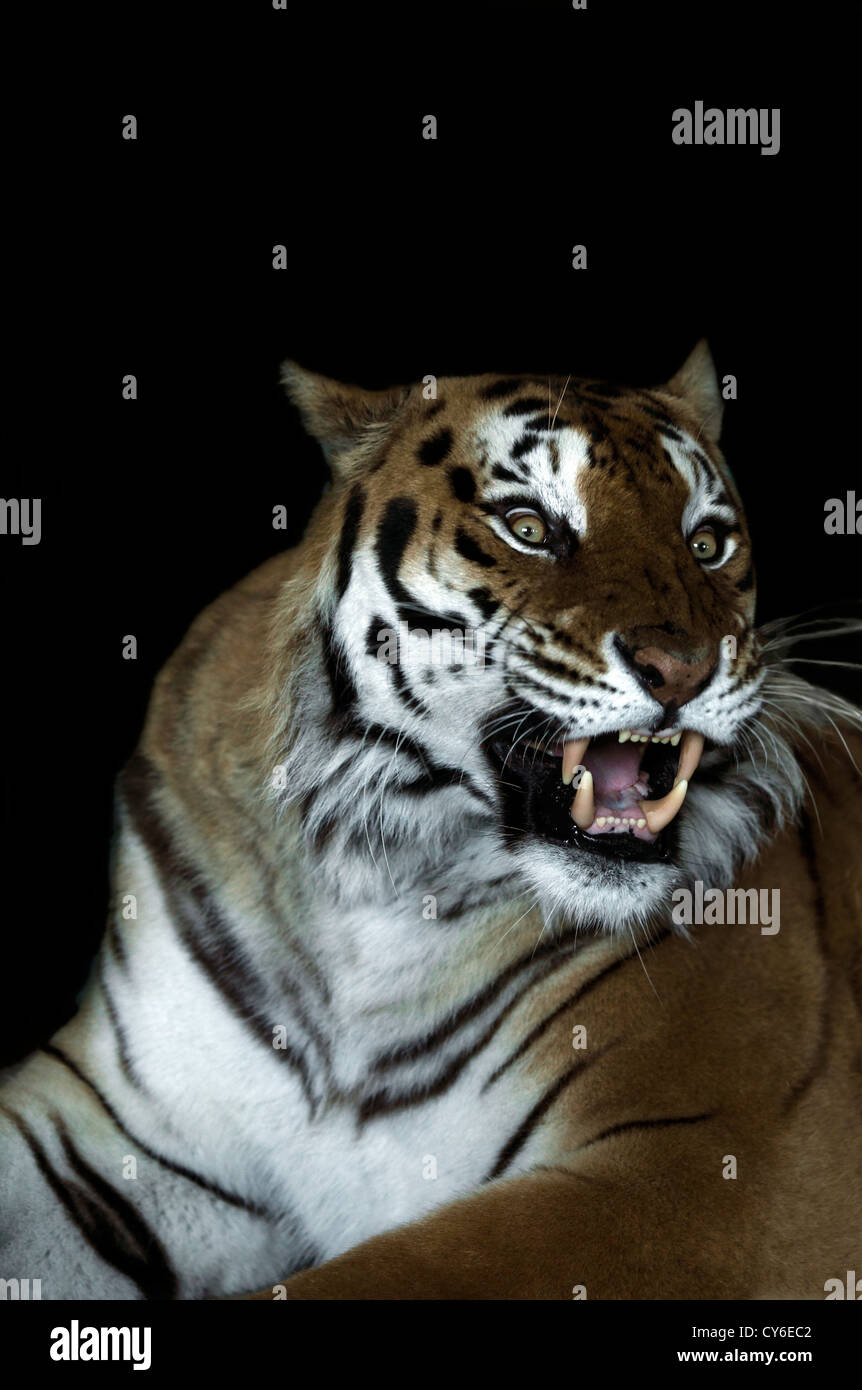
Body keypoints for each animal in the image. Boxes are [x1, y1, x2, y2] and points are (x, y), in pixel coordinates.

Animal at [1, 342, 860, 1302]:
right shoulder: (113, 1124)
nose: (684, 667)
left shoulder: (703, 1166)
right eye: (530, 526)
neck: (380, 883)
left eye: (707, 544)